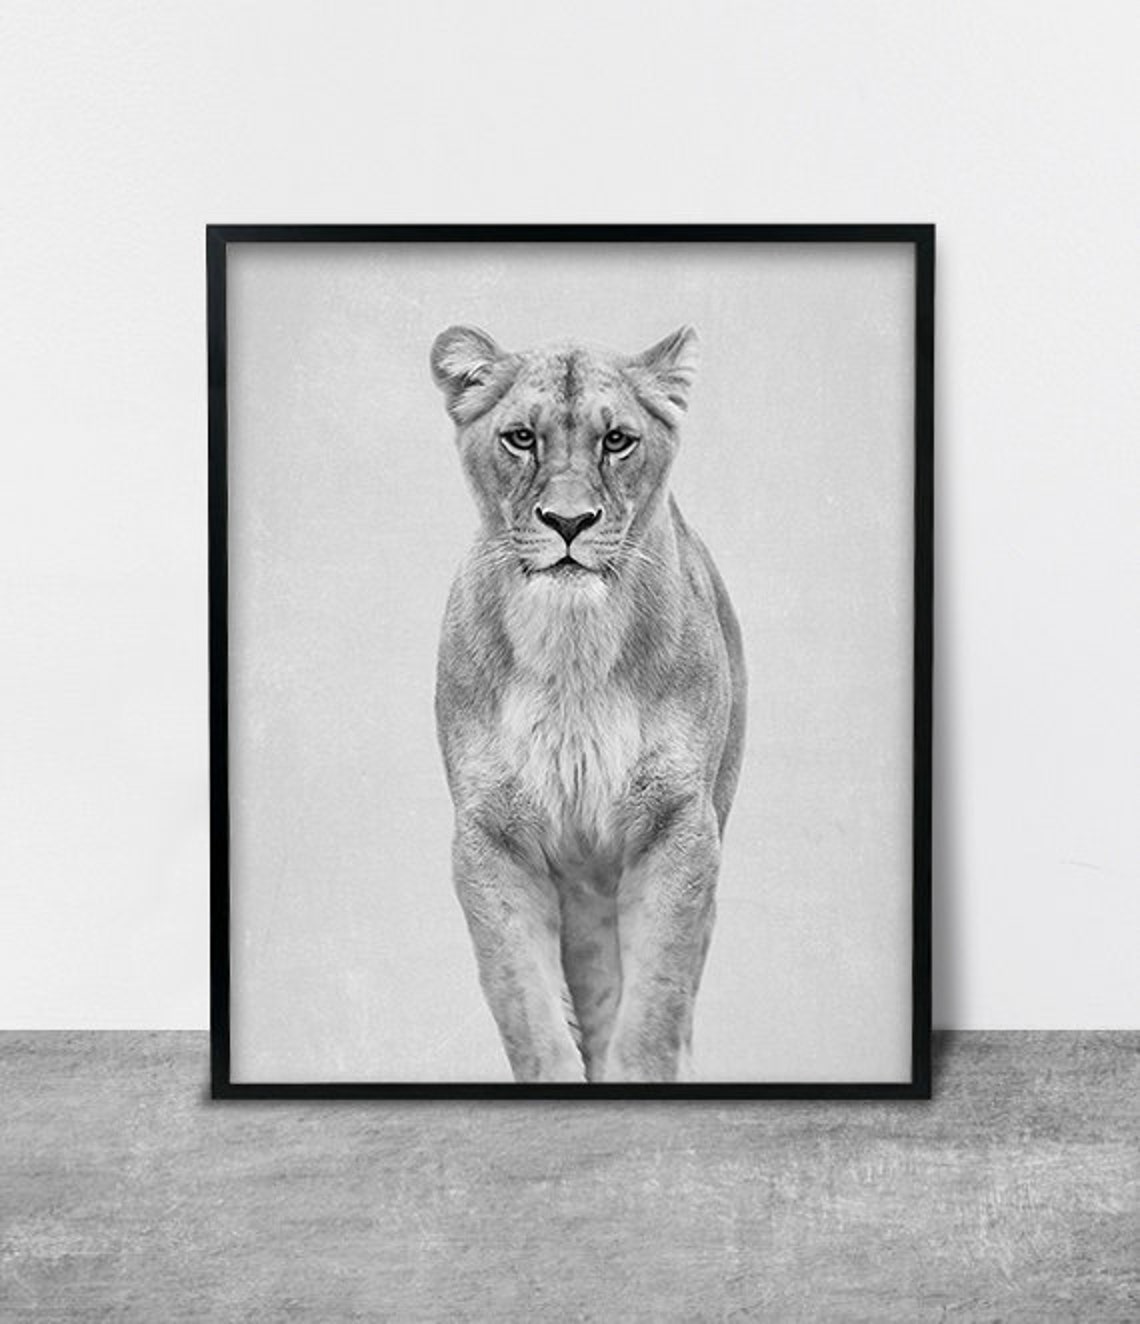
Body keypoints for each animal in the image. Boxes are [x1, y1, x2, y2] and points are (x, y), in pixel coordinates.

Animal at [431, 324, 746, 1083]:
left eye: (617, 440)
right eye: (521, 437)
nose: (569, 521)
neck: (571, 649)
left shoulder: (680, 824)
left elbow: (657, 1004)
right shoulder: (489, 835)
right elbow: (526, 1008)